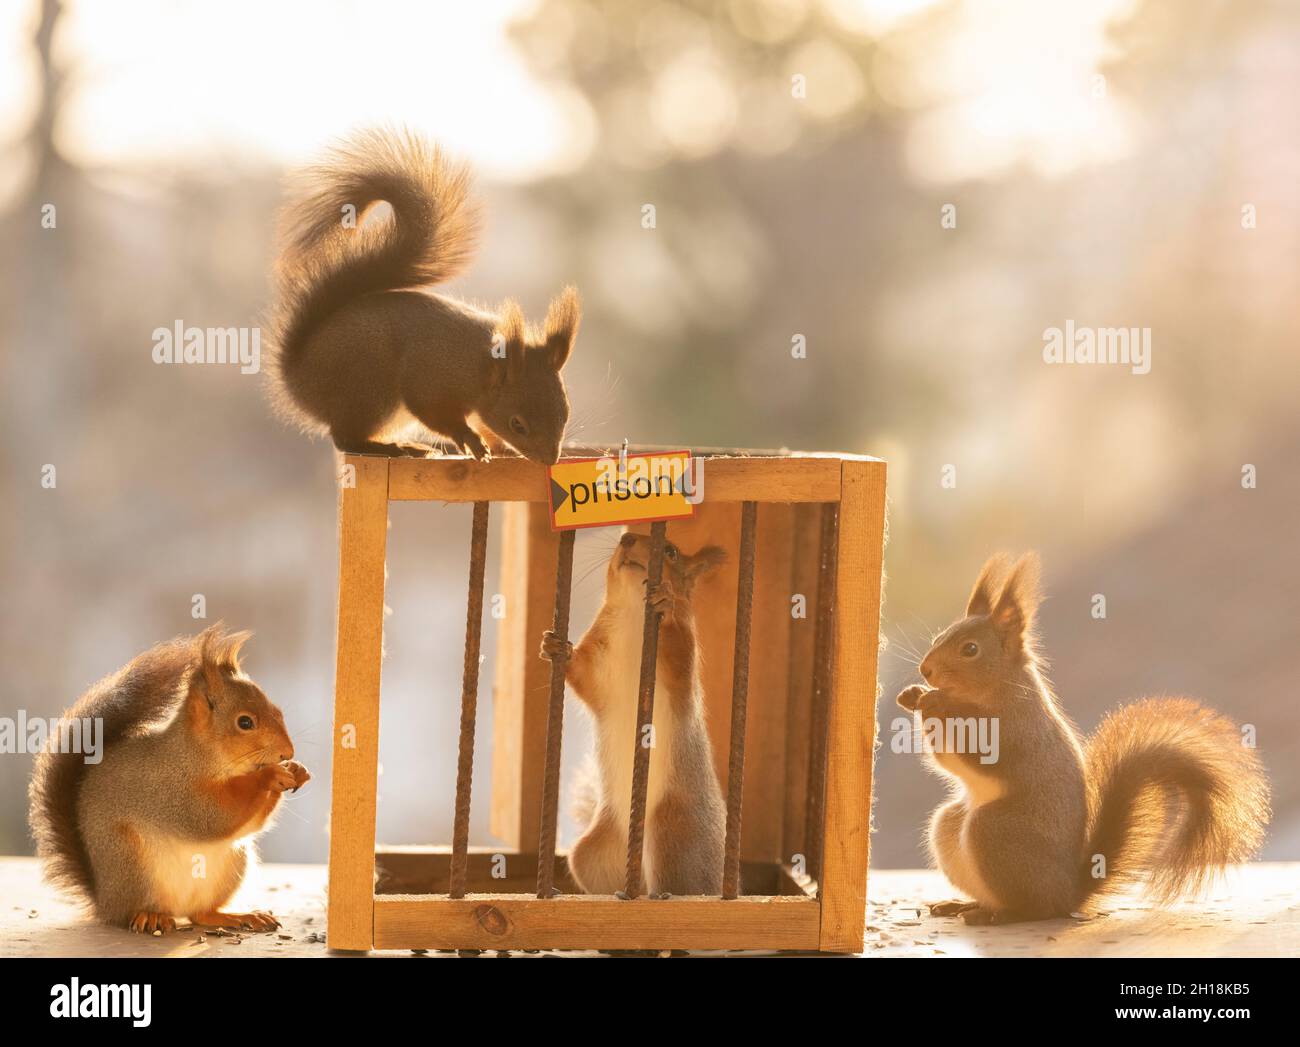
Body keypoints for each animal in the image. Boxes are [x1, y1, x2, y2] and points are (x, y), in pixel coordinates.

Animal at [28, 624, 310, 934]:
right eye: (245, 722)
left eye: (278, 711)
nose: (287, 752)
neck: (196, 754)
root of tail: (104, 899)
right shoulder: (173, 790)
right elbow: (215, 816)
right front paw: (271, 775)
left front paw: (297, 770)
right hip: (131, 863)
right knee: (134, 912)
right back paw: (150, 916)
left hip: (233, 863)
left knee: (201, 914)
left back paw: (237, 916)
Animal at [267, 127, 581, 464]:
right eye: (517, 424)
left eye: (565, 414)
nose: (550, 460)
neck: (480, 368)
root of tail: (298, 379)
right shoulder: (431, 380)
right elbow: (436, 413)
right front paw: (471, 440)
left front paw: (498, 449)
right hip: (370, 389)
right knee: (346, 439)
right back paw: (394, 447)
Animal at [541, 532, 728, 897]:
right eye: (620, 539)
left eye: (670, 551)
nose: (626, 539)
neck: (633, 615)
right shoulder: (600, 665)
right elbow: (584, 677)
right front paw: (555, 648)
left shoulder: (681, 678)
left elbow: (678, 651)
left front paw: (665, 604)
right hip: (593, 855)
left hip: (672, 835)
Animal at [896, 552, 1270, 925]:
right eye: (938, 638)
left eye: (970, 649)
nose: (925, 670)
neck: (996, 688)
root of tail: (1068, 892)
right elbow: (945, 758)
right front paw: (915, 695)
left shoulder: (1019, 731)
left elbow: (982, 751)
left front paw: (935, 701)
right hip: (949, 825)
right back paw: (963, 905)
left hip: (994, 831)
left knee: (1036, 909)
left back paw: (1000, 915)